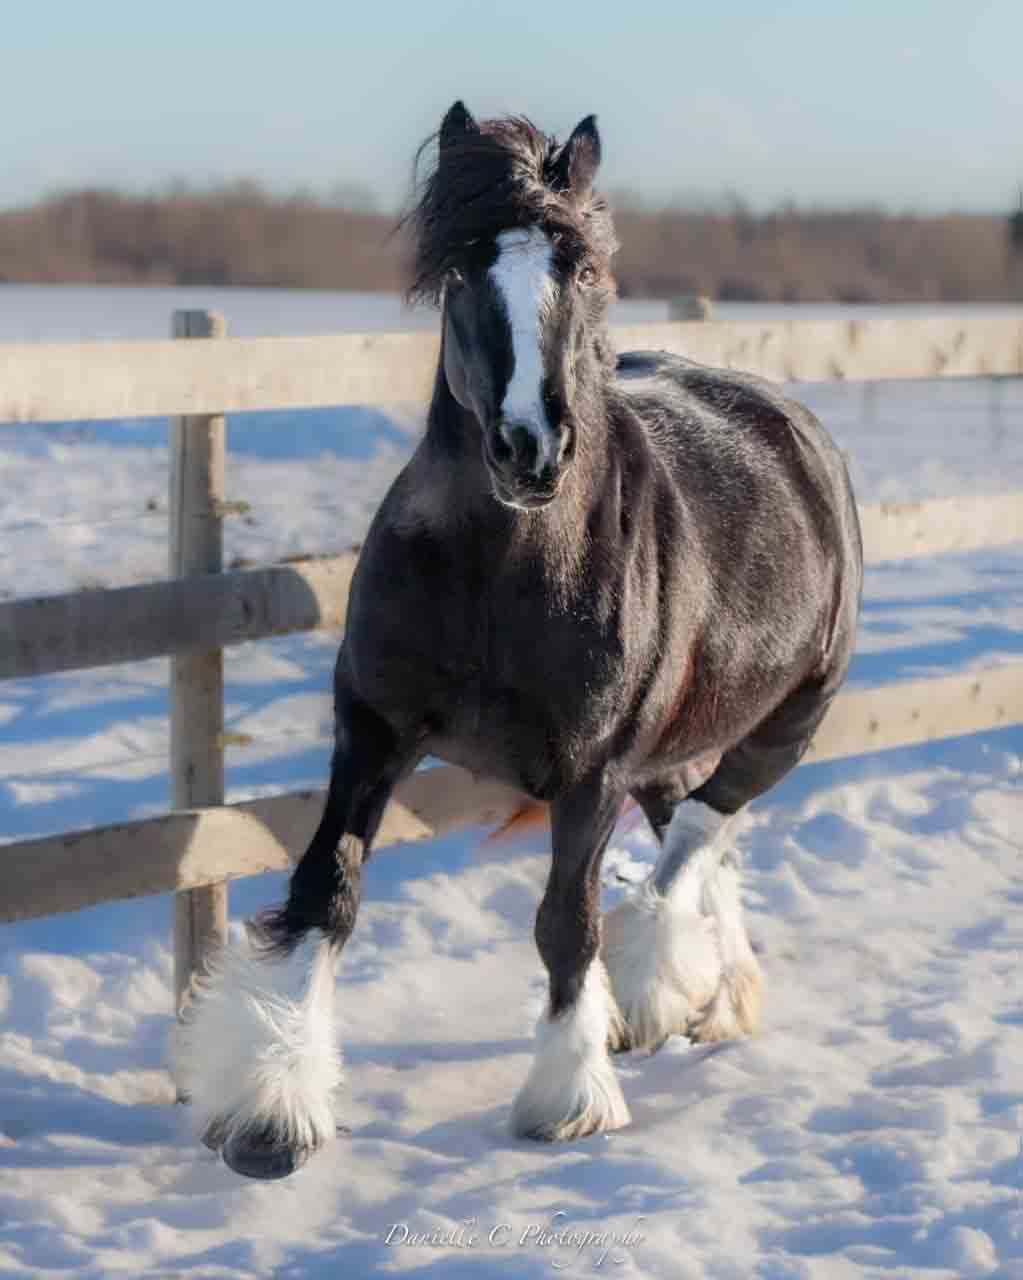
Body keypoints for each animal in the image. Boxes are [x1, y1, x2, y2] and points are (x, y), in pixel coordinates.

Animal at [172, 102, 863, 1180]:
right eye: (463, 269)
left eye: (579, 267)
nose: (530, 447)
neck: (498, 575)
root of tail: (783, 415)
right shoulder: (373, 727)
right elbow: (327, 889)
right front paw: (269, 1111)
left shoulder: (592, 770)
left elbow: (566, 924)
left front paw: (568, 1099)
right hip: (671, 747)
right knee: (695, 833)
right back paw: (710, 995)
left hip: (786, 723)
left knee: (700, 835)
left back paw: (660, 989)